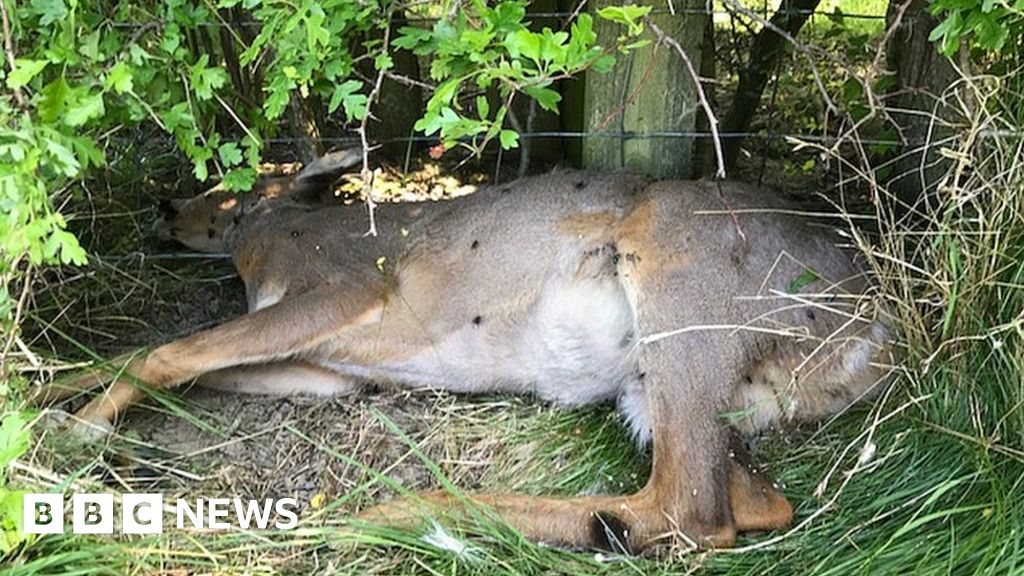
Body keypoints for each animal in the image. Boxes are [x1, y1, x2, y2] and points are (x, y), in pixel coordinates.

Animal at [35, 148, 891, 553]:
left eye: (226, 185)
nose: (164, 204)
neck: (262, 247)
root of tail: (872, 335)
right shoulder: (328, 369)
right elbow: (156, 358)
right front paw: (44, 395)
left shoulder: (344, 289)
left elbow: (164, 353)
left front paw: (79, 429)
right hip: (669, 383)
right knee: (752, 501)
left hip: (681, 271)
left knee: (692, 509)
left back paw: (397, 510)